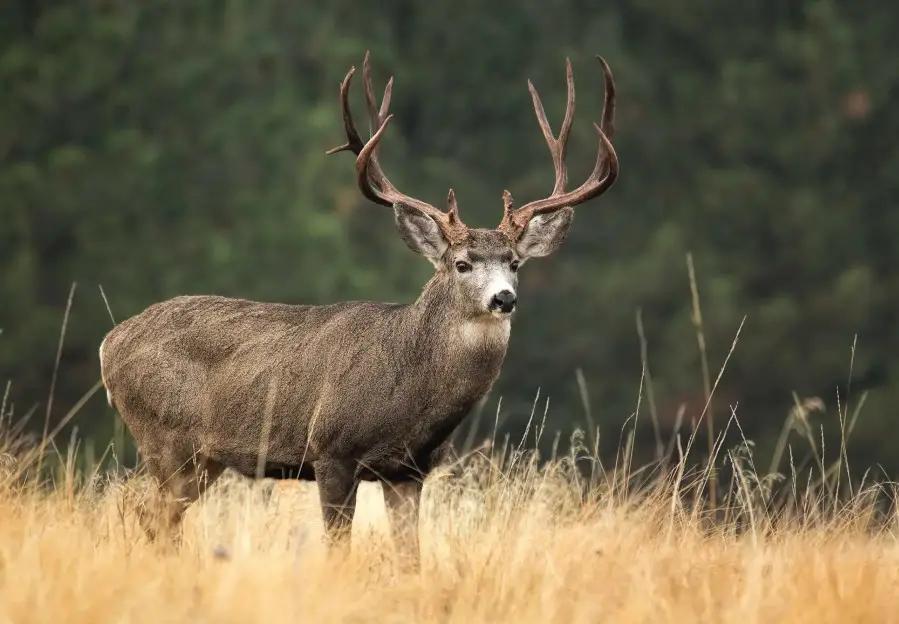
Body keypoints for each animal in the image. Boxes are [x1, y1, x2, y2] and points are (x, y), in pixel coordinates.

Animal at [98, 52, 618, 559]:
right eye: (462, 263)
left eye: (514, 262)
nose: (504, 297)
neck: (412, 390)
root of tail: (110, 343)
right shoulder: (331, 450)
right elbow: (337, 549)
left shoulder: (409, 470)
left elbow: (411, 556)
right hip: (165, 436)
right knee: (151, 514)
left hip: (201, 458)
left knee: (158, 518)